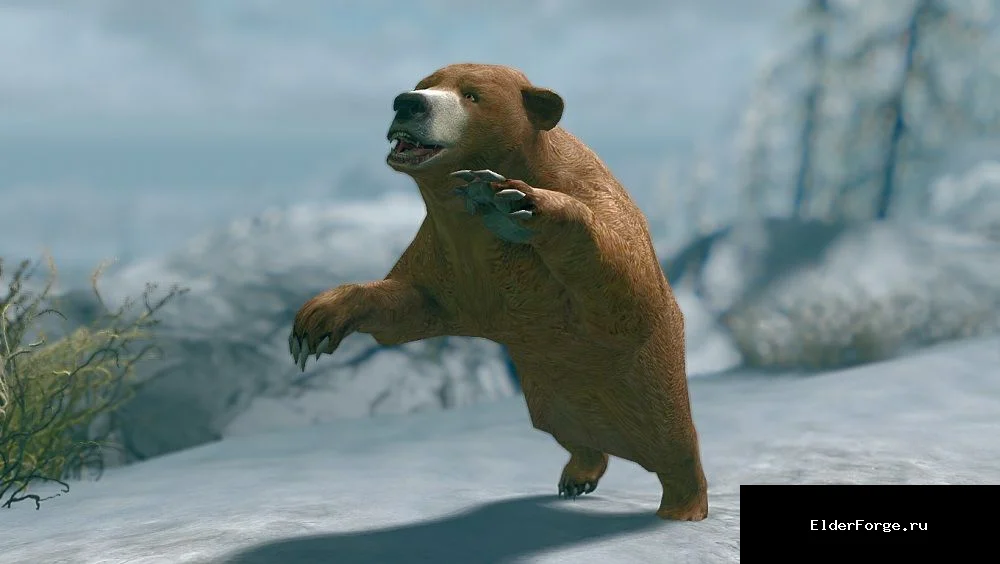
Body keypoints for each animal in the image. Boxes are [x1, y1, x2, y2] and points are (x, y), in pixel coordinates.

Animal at [289, 63, 709, 521]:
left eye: (472, 95)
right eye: (425, 85)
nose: (408, 102)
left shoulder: (590, 199)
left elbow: (624, 289)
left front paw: (515, 204)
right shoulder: (449, 255)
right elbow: (412, 301)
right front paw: (317, 320)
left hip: (650, 377)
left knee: (672, 440)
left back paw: (683, 505)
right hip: (548, 393)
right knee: (565, 427)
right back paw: (578, 473)